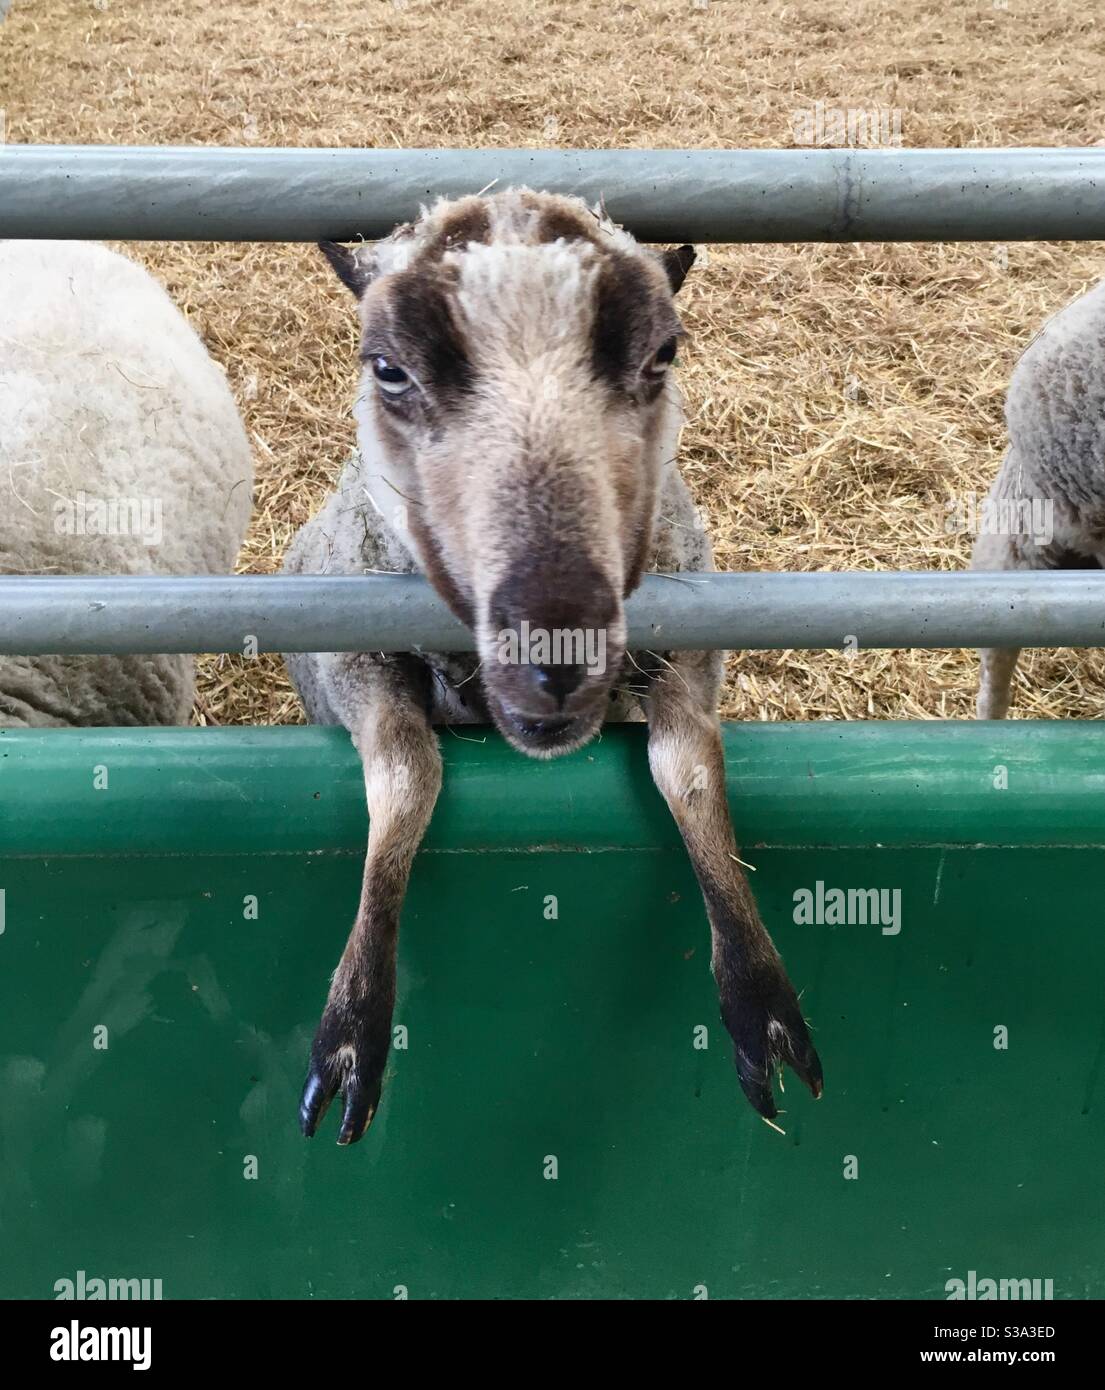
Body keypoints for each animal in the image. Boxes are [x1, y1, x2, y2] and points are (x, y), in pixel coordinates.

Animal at [284, 189, 823, 1145]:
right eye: (387, 369)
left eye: (663, 354)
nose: (555, 645)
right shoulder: (351, 657)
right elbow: (405, 775)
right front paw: (354, 1025)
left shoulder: (689, 651)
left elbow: (691, 772)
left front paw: (756, 995)